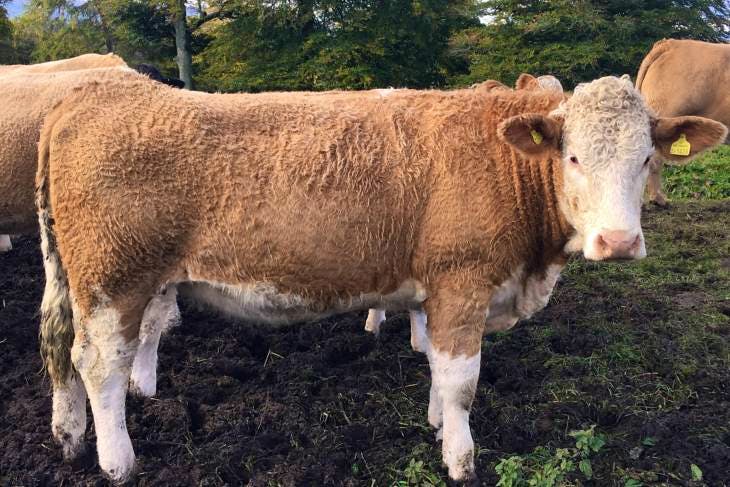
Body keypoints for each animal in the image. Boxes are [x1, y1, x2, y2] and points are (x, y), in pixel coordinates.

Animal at [36, 75, 726, 483]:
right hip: (114, 278)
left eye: (647, 158)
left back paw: (70, 437)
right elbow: (461, 383)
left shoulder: (437, 290)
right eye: (573, 156)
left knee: (63, 354)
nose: (619, 242)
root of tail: (91, 92)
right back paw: (118, 460)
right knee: (100, 363)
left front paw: (435, 424)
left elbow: (438, 372)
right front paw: (460, 458)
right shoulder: (461, 281)